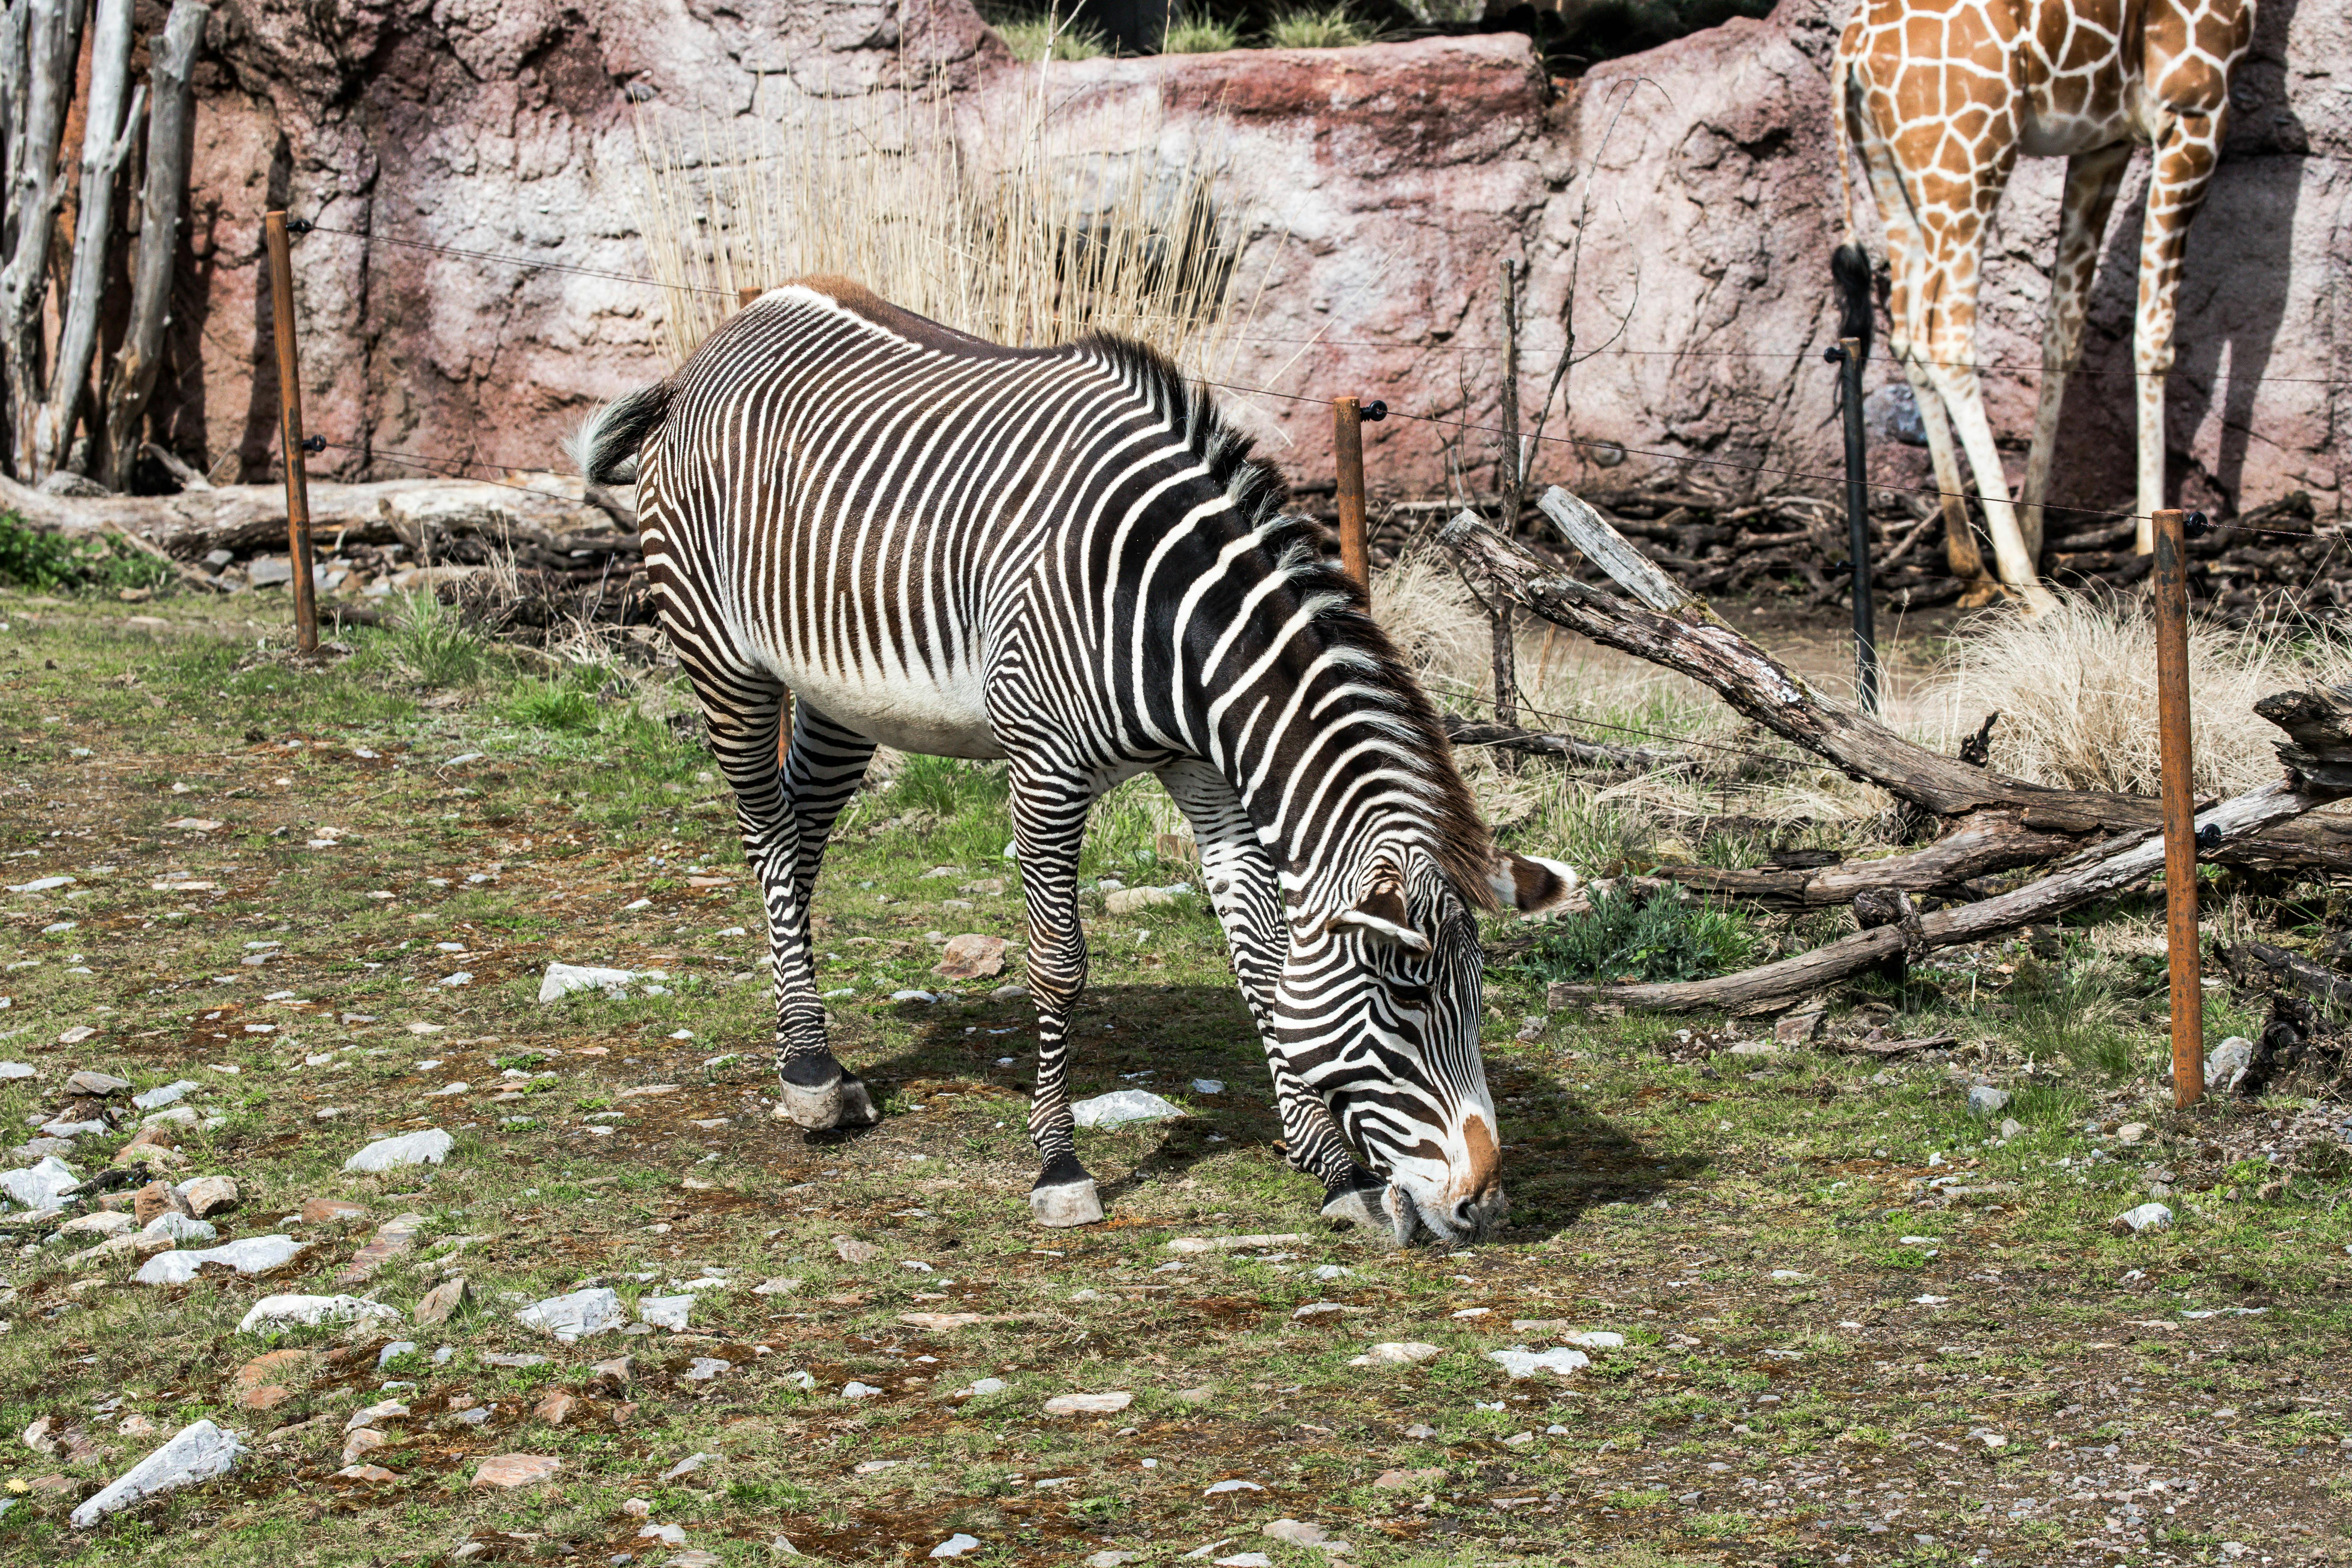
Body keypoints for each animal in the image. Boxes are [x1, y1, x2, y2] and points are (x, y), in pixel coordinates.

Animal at [570, 277, 1580, 1246]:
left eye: (1476, 1001)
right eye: (1403, 1002)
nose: (1482, 1209)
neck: (1174, 626)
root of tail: (724, 336)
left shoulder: (1212, 778)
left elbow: (1260, 959)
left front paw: (1335, 1173)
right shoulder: (1045, 768)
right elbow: (1057, 965)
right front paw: (1059, 1169)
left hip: (836, 689)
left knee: (802, 836)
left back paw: (822, 1060)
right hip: (722, 656)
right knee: (765, 835)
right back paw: (809, 1077)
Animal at [1830, 0, 2258, 610]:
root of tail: (1853, 45)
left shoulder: (2103, 143)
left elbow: (2064, 330)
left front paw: (2039, 531)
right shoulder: (2194, 108)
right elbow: (2154, 335)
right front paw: (2154, 538)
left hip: (1888, 169)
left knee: (1908, 334)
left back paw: (1972, 565)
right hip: (1965, 159)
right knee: (1947, 336)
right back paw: (2024, 582)